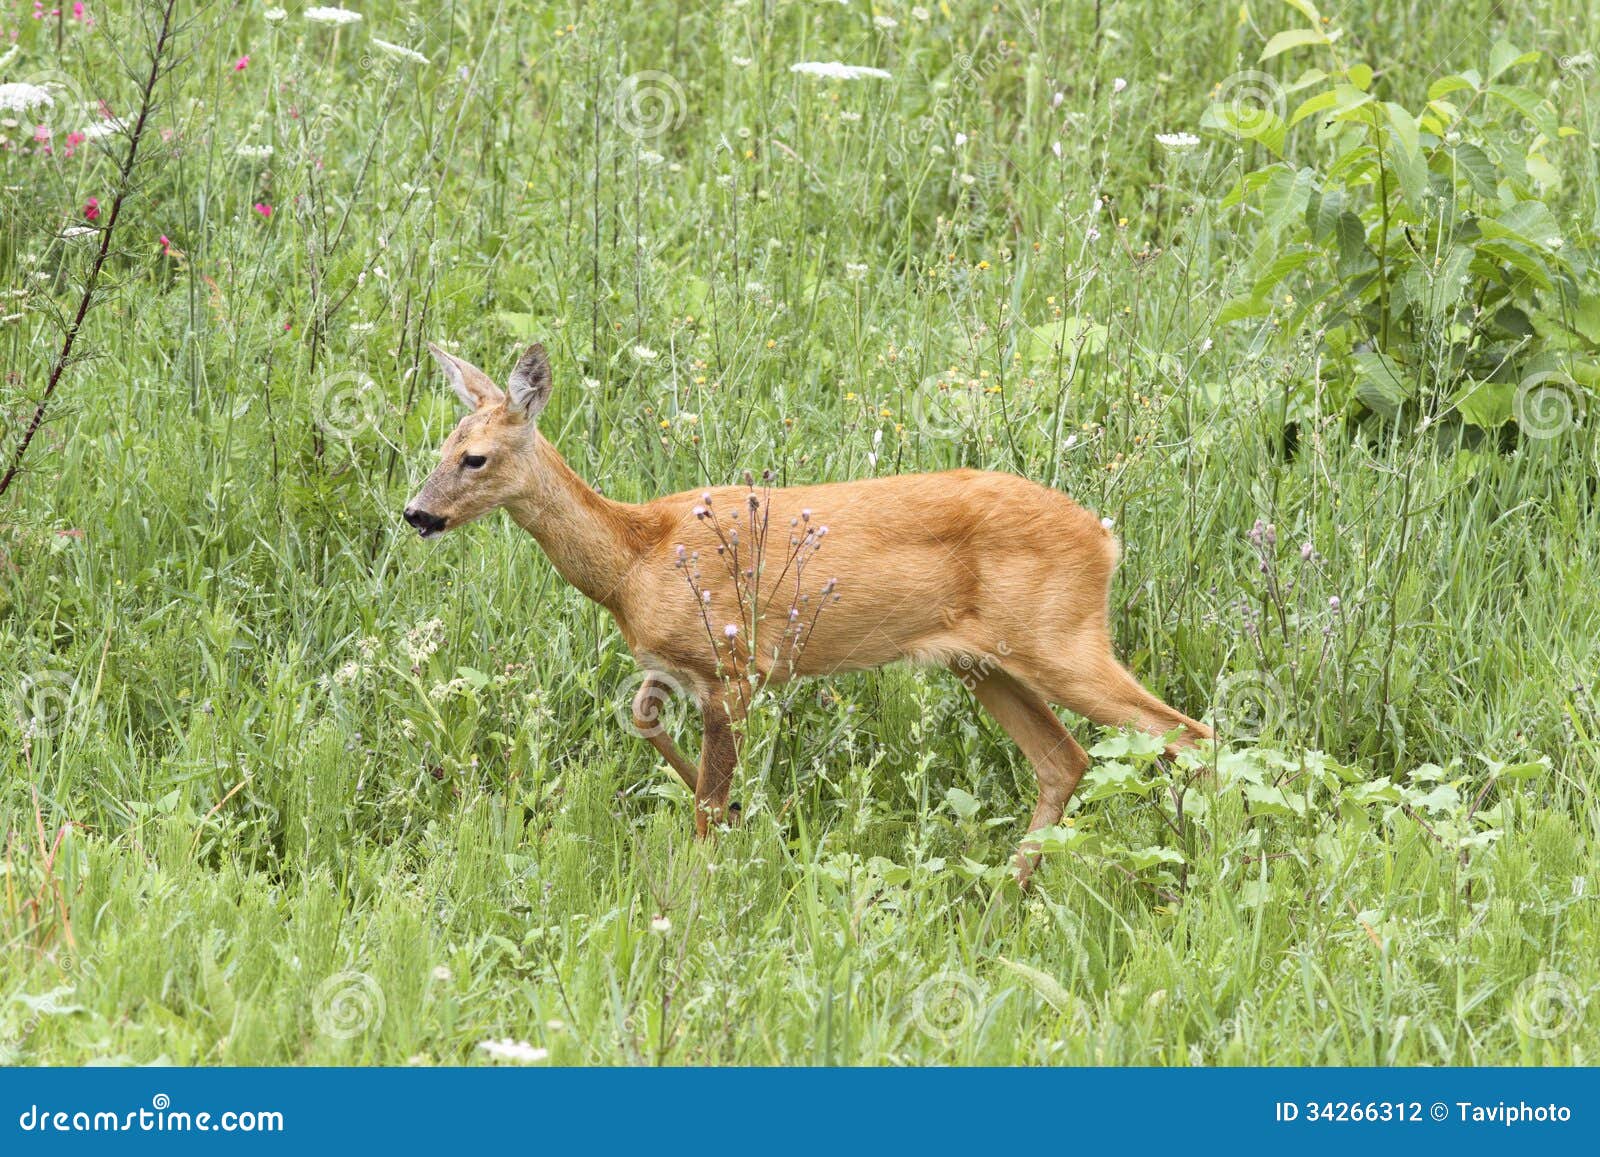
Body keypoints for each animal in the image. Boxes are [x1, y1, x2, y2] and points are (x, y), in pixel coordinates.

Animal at [403, 341, 1212, 884]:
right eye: (442, 445)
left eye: (475, 457)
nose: (416, 513)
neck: (635, 558)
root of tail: (1105, 537)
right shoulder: (673, 667)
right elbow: (643, 722)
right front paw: (744, 819)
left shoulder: (733, 666)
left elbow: (706, 799)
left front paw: (703, 878)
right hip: (985, 663)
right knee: (1065, 759)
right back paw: (1006, 894)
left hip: (1062, 638)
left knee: (1187, 732)